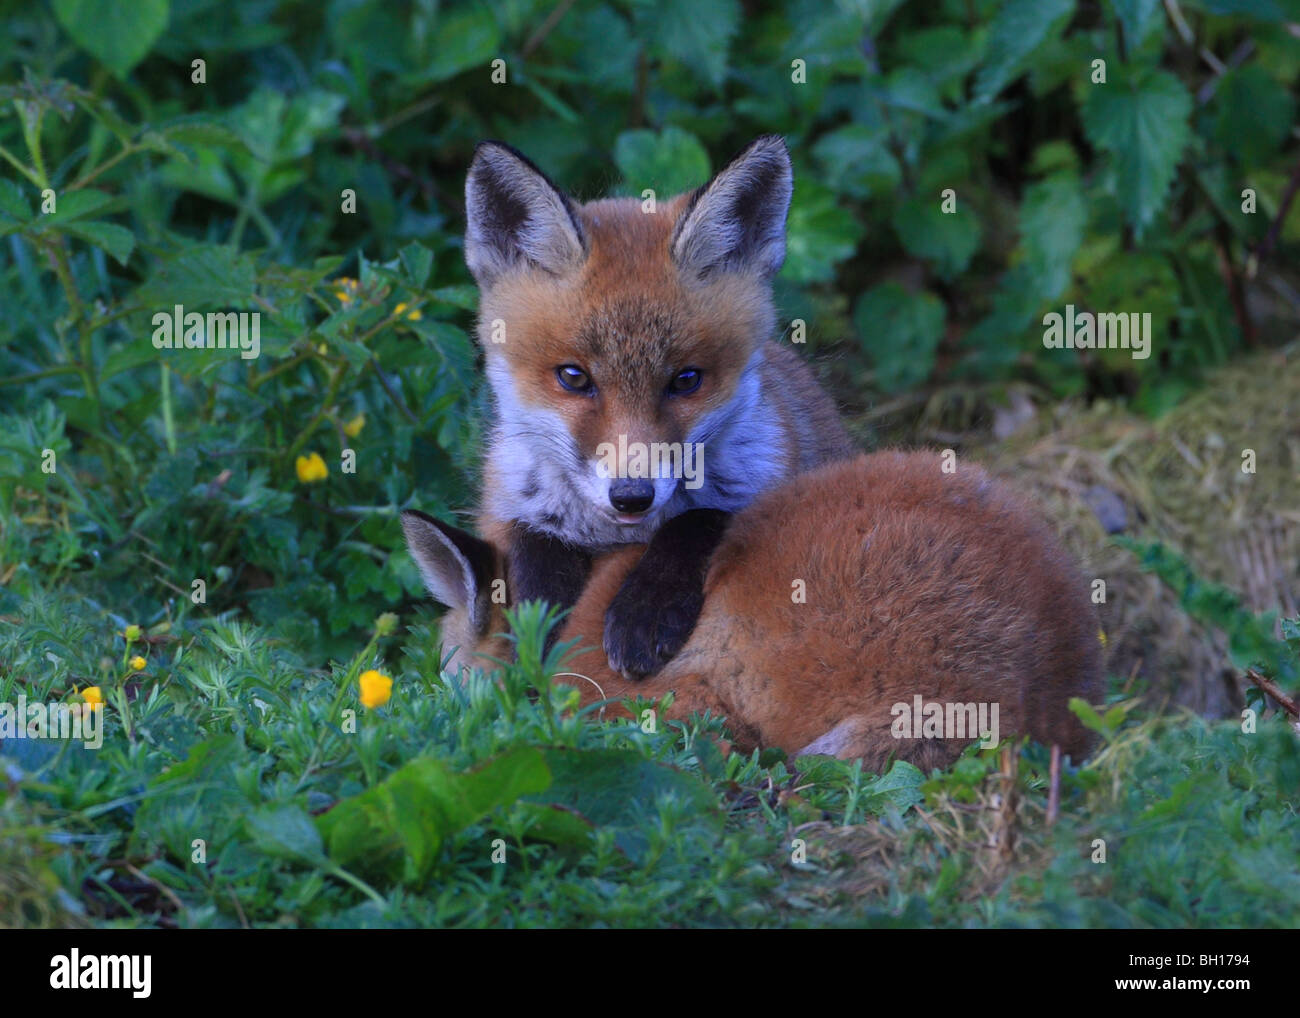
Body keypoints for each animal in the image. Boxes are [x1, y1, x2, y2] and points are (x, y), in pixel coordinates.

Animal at [462, 135, 852, 680]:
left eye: (685, 381)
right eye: (573, 377)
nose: (632, 496)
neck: (618, 533)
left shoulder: (770, 485)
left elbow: (701, 520)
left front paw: (645, 611)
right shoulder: (509, 507)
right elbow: (533, 554)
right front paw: (540, 637)